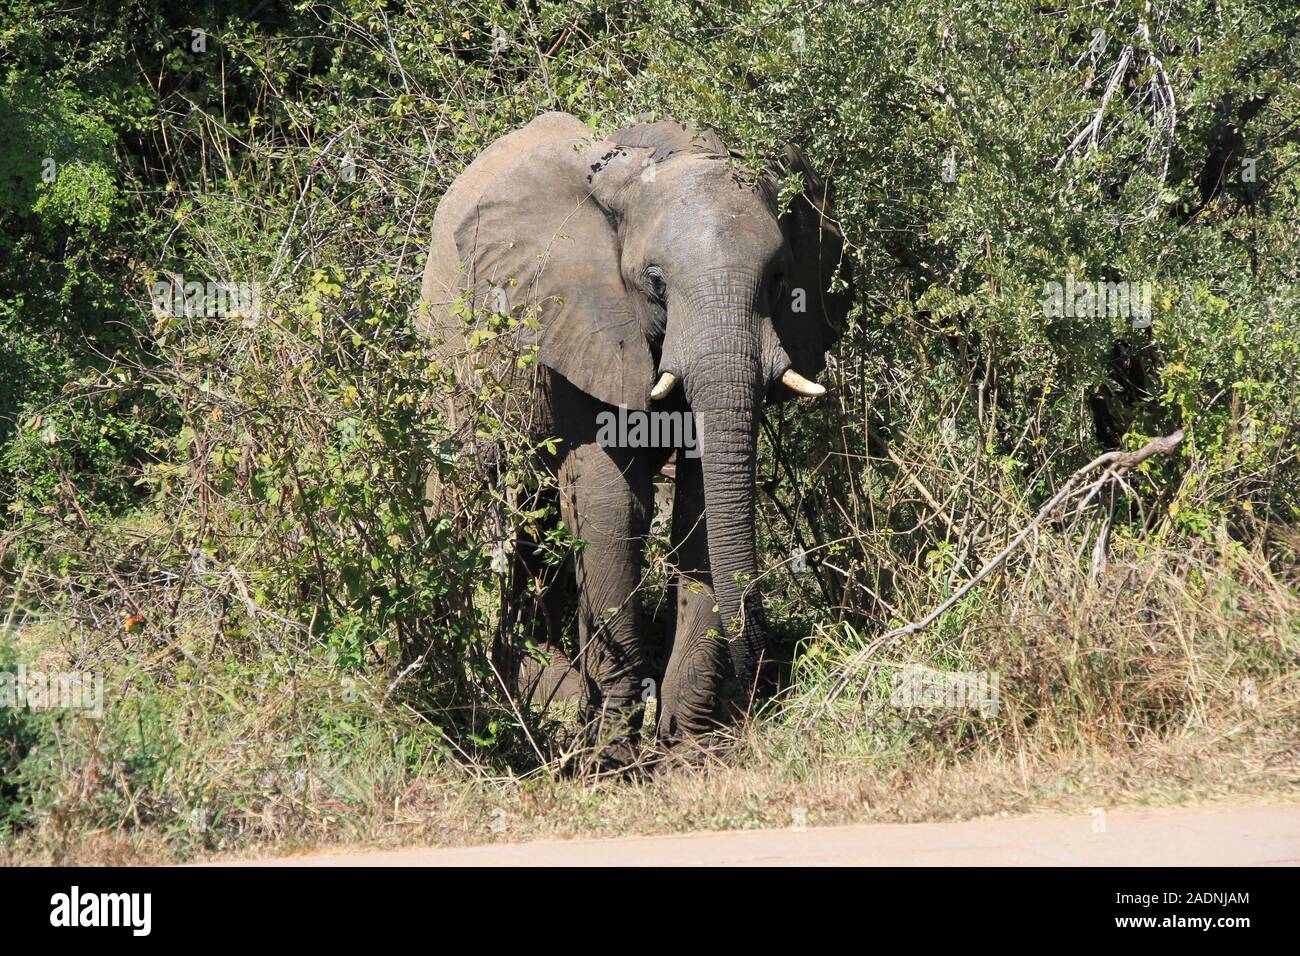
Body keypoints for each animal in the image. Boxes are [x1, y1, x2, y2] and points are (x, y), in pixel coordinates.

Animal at [418, 111, 849, 770]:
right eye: (654, 281)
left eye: (779, 280)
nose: (759, 682)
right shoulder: (577, 315)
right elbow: (611, 501)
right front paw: (613, 758)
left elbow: (701, 505)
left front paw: (687, 747)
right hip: (448, 342)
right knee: (470, 489)